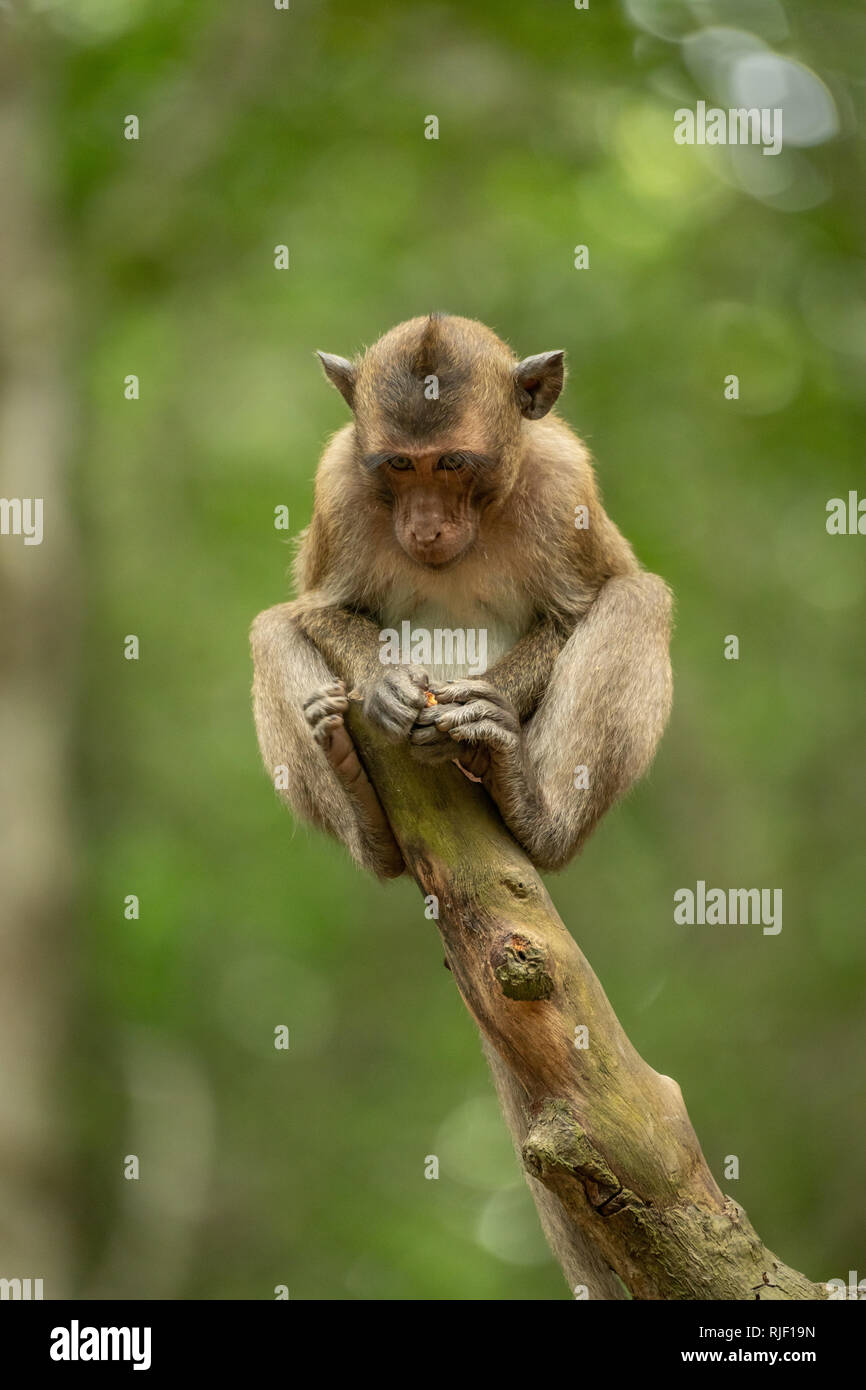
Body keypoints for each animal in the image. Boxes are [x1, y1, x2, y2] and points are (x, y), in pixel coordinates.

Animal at [251, 313, 672, 882]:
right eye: (401, 464)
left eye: (451, 462)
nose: (426, 527)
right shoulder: (338, 486)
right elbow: (319, 610)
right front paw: (384, 682)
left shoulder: (564, 485)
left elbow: (574, 613)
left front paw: (477, 708)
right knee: (272, 629)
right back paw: (364, 814)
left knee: (637, 599)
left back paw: (533, 812)